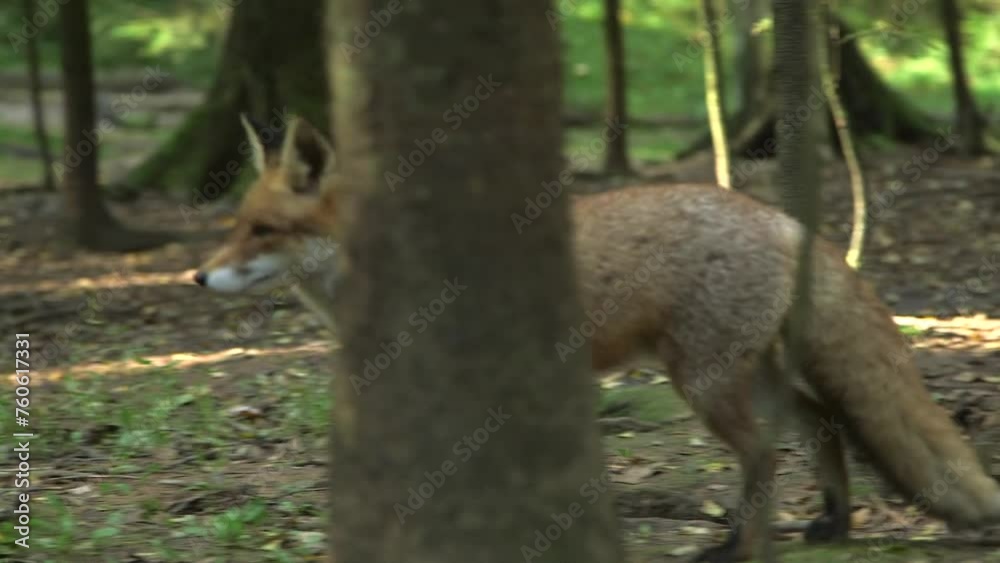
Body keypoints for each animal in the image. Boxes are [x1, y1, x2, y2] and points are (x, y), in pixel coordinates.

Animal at [194, 115, 1000, 562]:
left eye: (263, 231)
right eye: (235, 224)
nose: (199, 276)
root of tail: (784, 220)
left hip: (703, 381)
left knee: (767, 456)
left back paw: (737, 549)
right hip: (755, 376)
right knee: (824, 424)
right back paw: (829, 523)